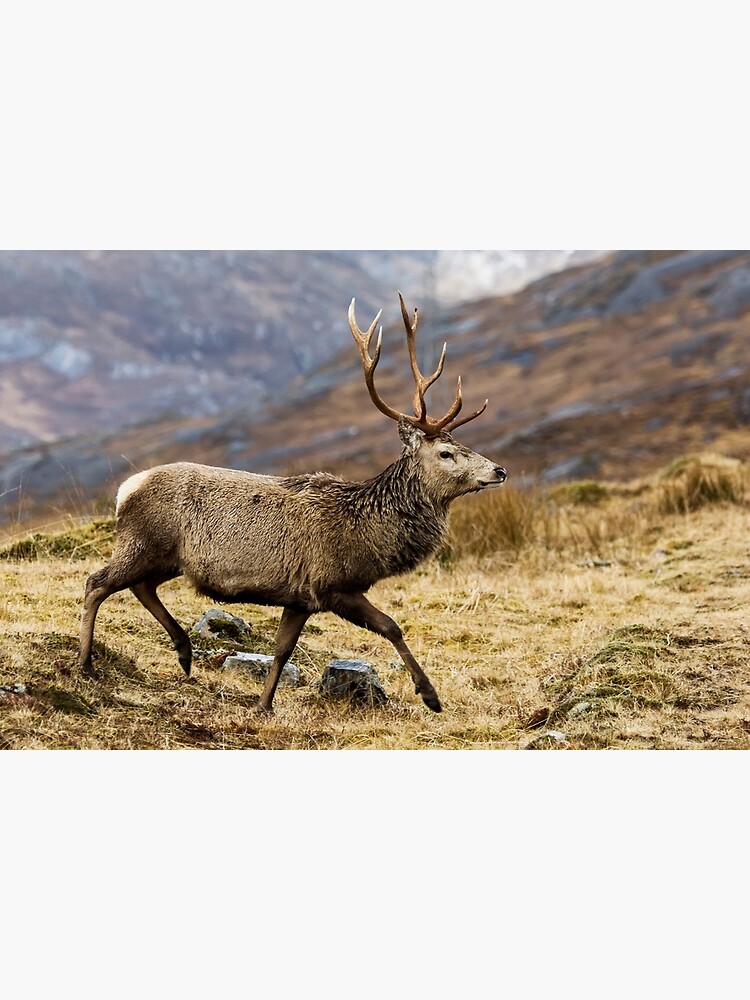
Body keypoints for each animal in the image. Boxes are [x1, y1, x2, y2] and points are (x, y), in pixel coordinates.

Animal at [78, 292, 507, 714]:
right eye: (446, 453)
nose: (499, 470)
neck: (367, 532)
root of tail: (126, 489)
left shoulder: (301, 597)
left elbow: (283, 649)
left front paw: (264, 706)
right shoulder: (331, 584)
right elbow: (390, 625)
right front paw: (430, 695)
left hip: (166, 557)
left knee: (141, 586)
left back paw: (184, 653)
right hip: (143, 541)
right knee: (97, 582)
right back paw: (86, 663)